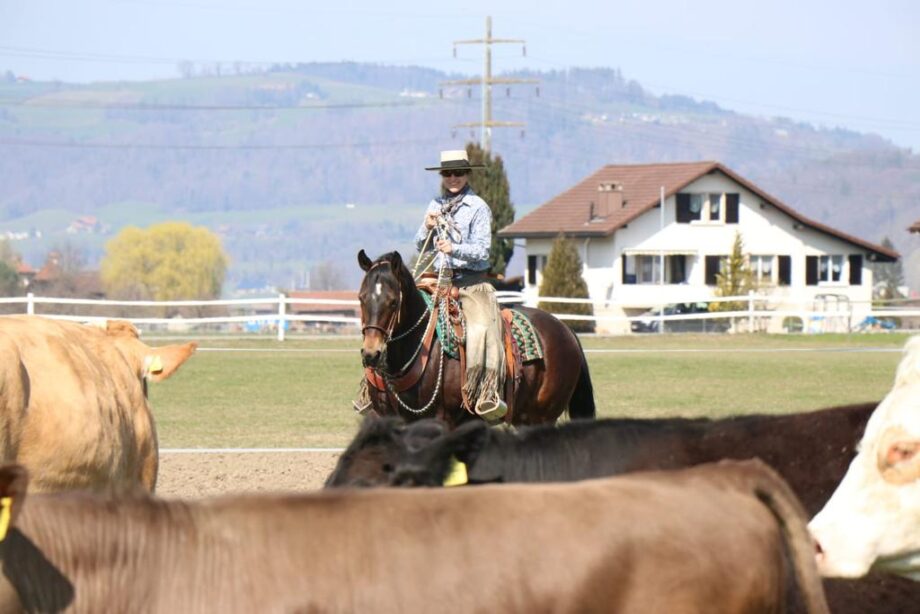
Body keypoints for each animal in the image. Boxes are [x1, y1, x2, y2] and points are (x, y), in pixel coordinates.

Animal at [357, 249, 596, 428]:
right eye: (361, 298)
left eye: (393, 301)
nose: (371, 353)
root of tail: (566, 329)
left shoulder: (441, 420)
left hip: (543, 416)